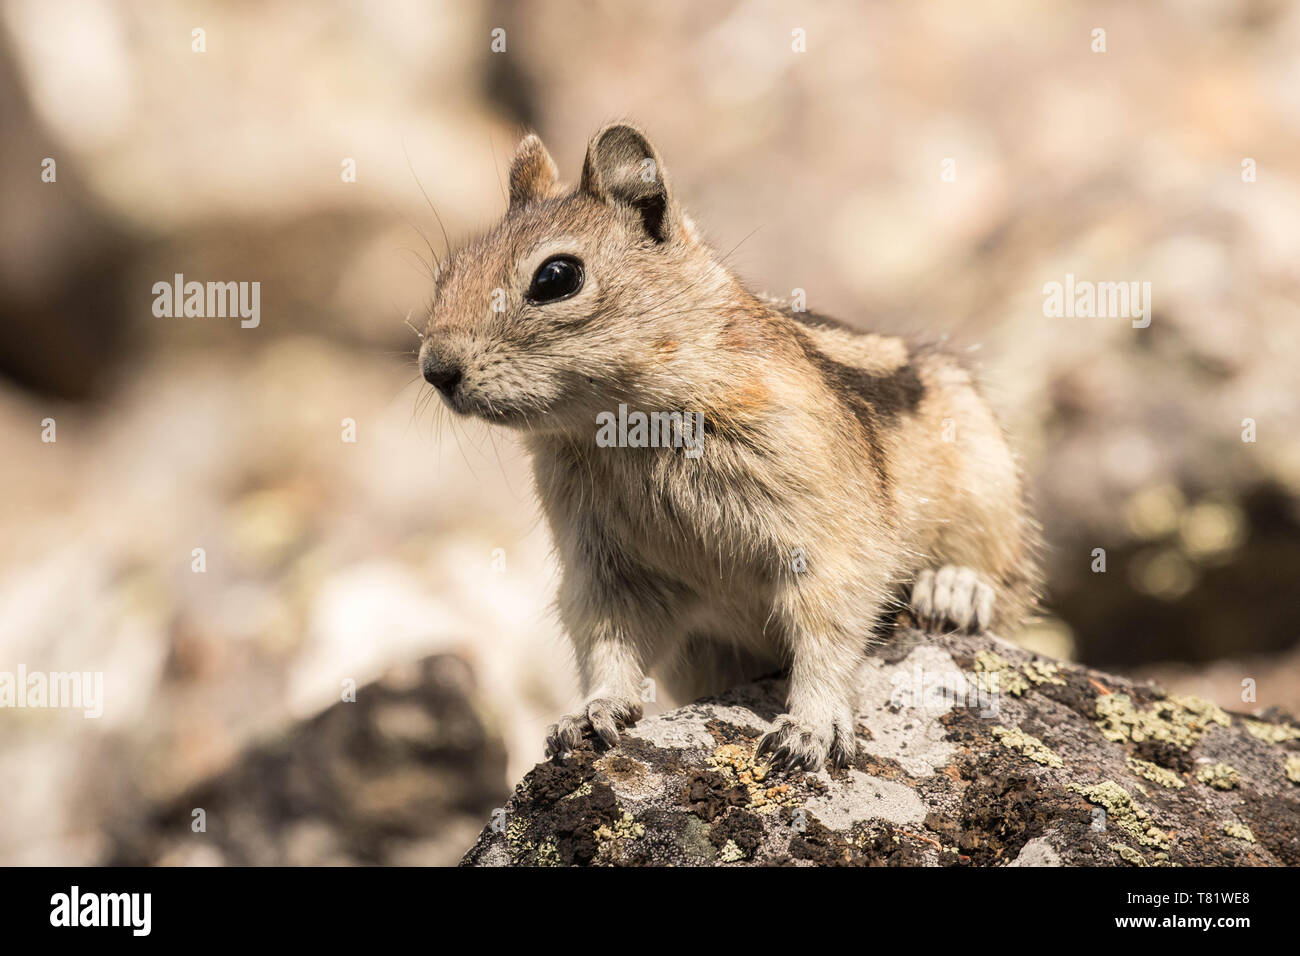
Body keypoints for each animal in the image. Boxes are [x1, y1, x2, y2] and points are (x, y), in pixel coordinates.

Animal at [418, 123, 1039, 772]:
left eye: (556, 277)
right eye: (448, 272)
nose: (435, 368)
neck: (624, 428)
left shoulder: (829, 534)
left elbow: (829, 626)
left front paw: (811, 729)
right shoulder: (604, 565)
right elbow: (608, 636)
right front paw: (593, 712)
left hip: (988, 486)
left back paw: (955, 589)